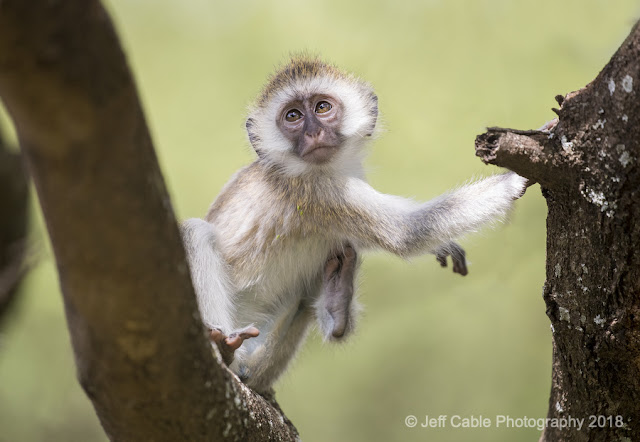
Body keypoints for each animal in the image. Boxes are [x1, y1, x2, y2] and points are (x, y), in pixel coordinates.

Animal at [181, 55, 527, 393]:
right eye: (293, 116)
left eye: (322, 108)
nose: (313, 133)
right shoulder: (320, 191)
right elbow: (406, 232)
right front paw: (515, 178)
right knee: (193, 233)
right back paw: (226, 353)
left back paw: (334, 309)